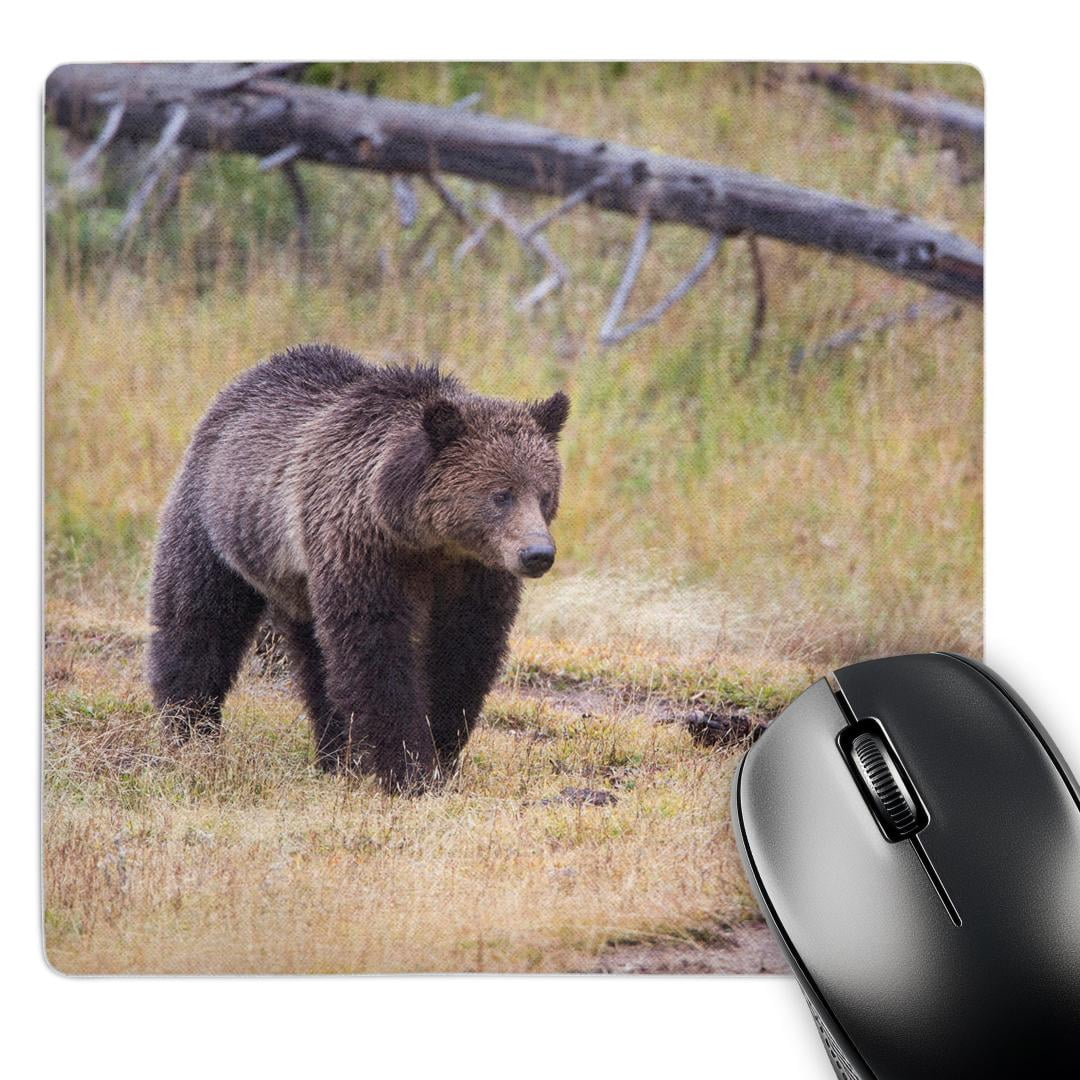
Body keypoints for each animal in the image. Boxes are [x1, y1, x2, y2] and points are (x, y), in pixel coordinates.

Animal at [147, 344, 569, 791]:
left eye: (544, 493)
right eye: (501, 495)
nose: (537, 554)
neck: (425, 538)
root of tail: (242, 383)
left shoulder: (475, 573)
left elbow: (463, 652)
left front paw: (441, 749)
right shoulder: (363, 550)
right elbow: (375, 648)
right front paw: (408, 767)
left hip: (297, 579)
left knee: (315, 658)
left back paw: (334, 754)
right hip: (218, 523)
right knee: (198, 619)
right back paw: (188, 727)